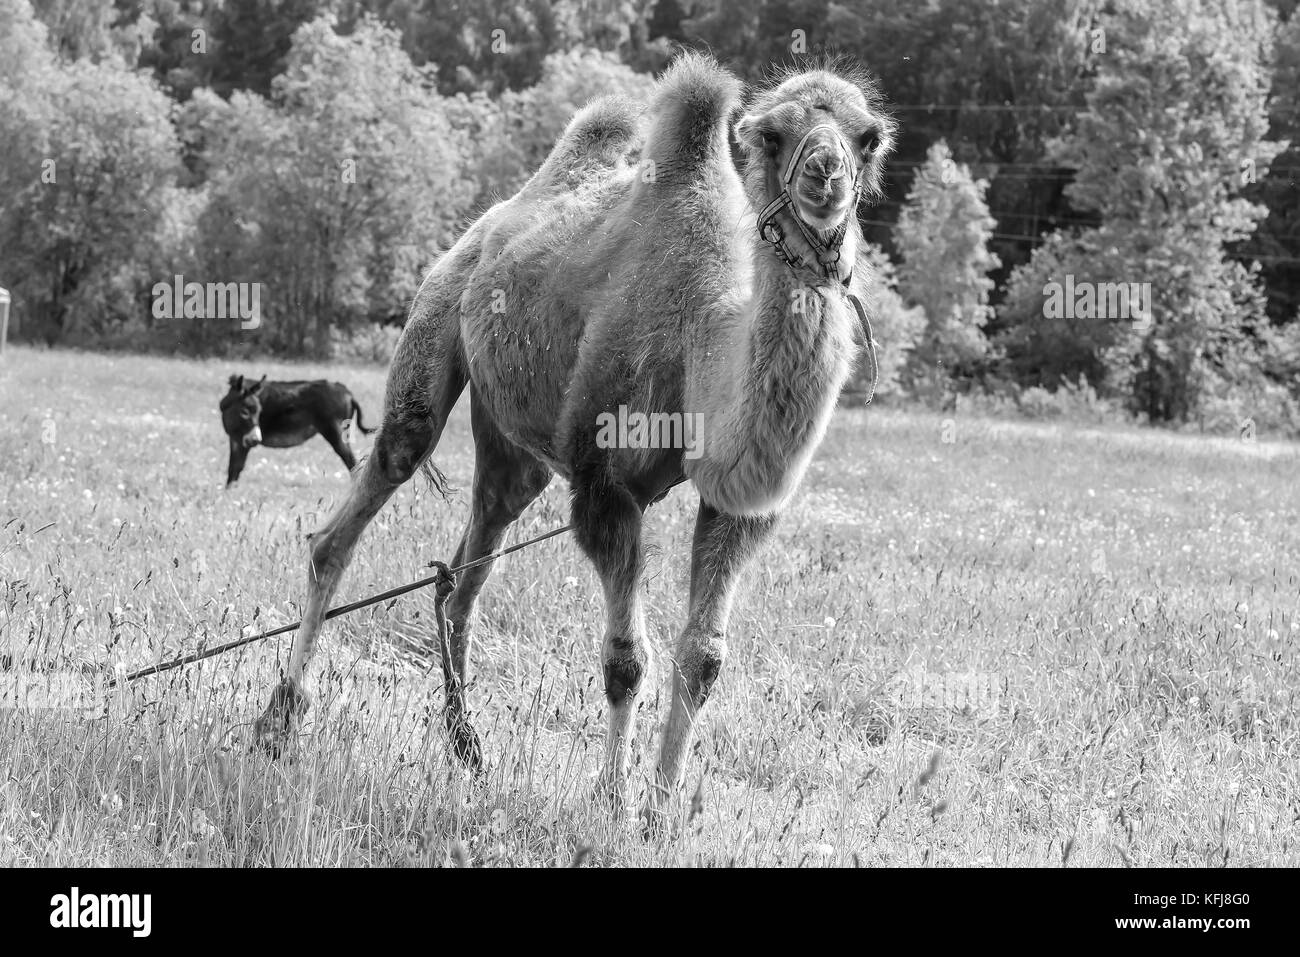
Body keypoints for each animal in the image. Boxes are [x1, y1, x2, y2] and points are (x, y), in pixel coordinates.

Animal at [254, 53, 896, 821]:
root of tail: (489, 223)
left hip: (515, 452)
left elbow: (704, 657)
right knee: (350, 520)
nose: (825, 174)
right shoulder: (603, 485)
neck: (700, 340)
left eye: (867, 138)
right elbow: (626, 657)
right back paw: (279, 722)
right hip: (430, 338)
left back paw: (467, 744)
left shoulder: (736, 508)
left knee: (465, 573)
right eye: (773, 135)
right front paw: (613, 804)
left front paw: (660, 813)